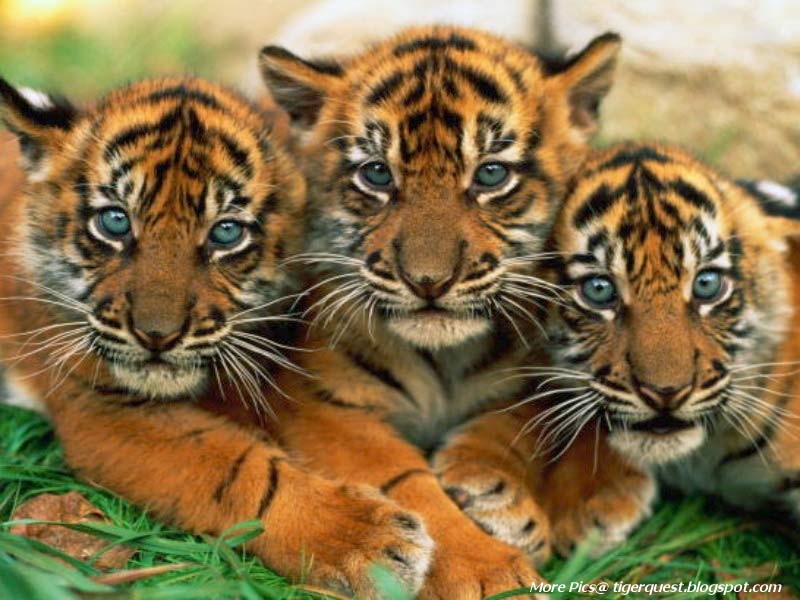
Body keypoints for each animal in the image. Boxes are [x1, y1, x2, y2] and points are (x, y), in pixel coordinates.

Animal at [0, 76, 443, 596]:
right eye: (114, 221)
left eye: (226, 233)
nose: (157, 336)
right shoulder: (102, 407)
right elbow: (238, 470)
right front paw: (367, 543)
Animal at [256, 25, 622, 597]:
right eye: (377, 174)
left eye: (491, 174)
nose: (428, 280)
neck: (443, 360)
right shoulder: (323, 404)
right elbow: (405, 483)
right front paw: (487, 570)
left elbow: (509, 426)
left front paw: (495, 490)